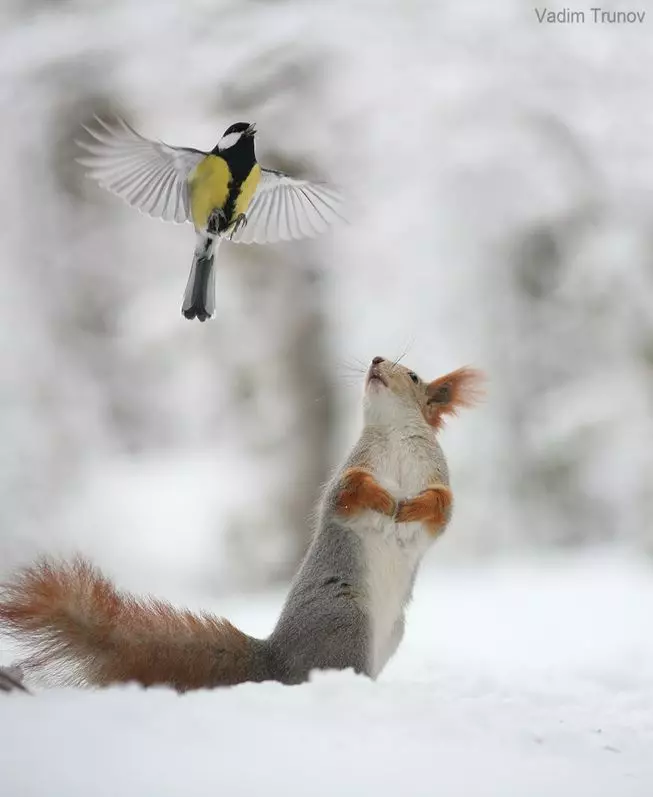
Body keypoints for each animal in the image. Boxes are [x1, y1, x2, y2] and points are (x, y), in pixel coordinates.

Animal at [0, 356, 482, 692]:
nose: (377, 360)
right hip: (348, 623)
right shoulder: (348, 474)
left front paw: (411, 507)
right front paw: (382, 498)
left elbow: (440, 510)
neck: (395, 436)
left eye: (414, 376)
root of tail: (275, 660)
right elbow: (347, 495)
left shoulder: (437, 480)